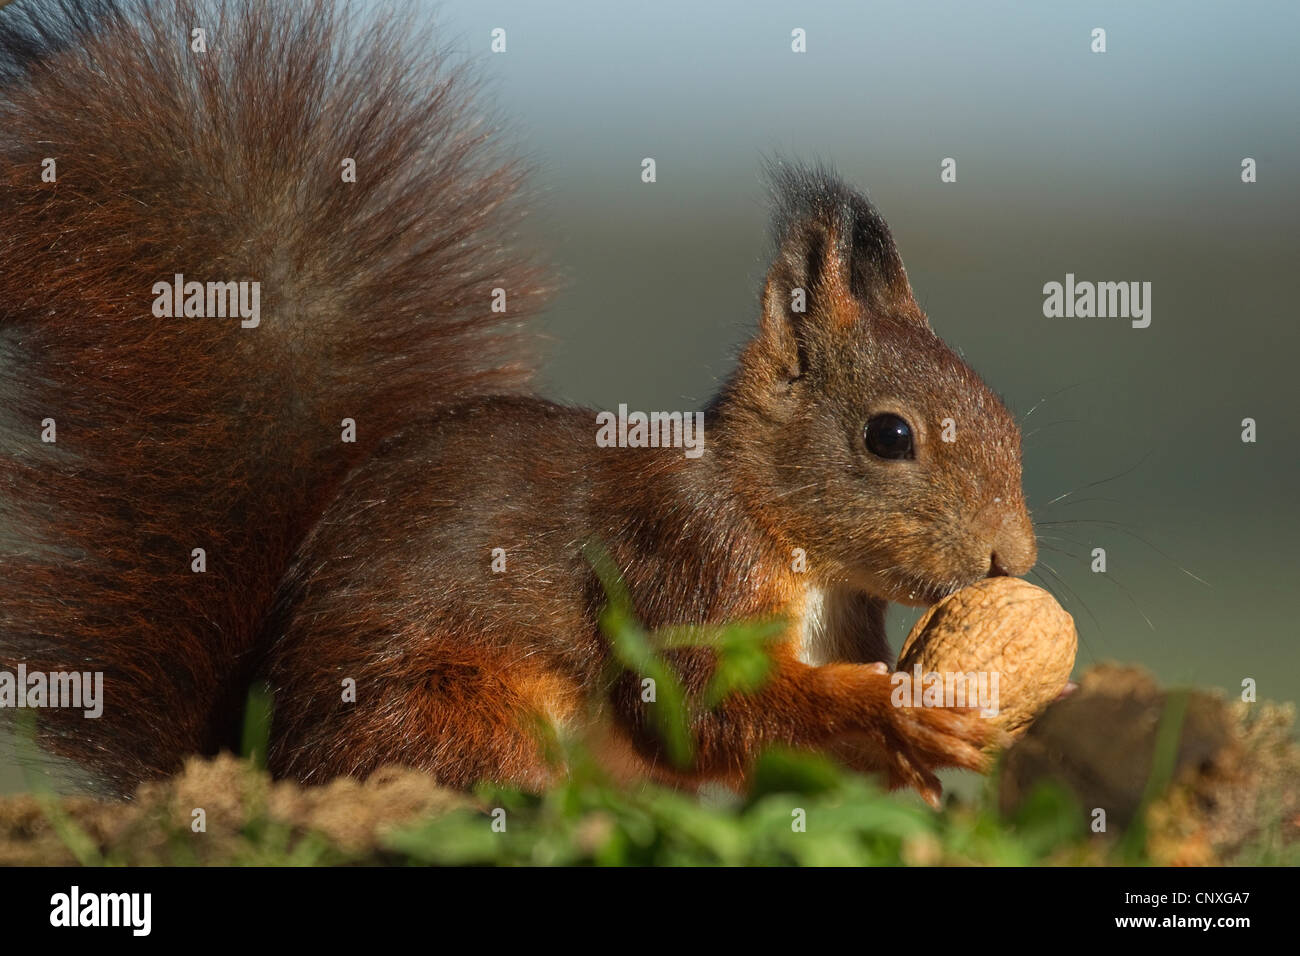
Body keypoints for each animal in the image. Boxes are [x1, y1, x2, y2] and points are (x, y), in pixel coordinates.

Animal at [0, 0, 1036, 806]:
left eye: (1006, 417)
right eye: (889, 435)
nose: (1012, 560)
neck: (776, 520)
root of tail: (258, 761)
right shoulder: (680, 558)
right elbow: (700, 709)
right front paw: (909, 711)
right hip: (451, 709)